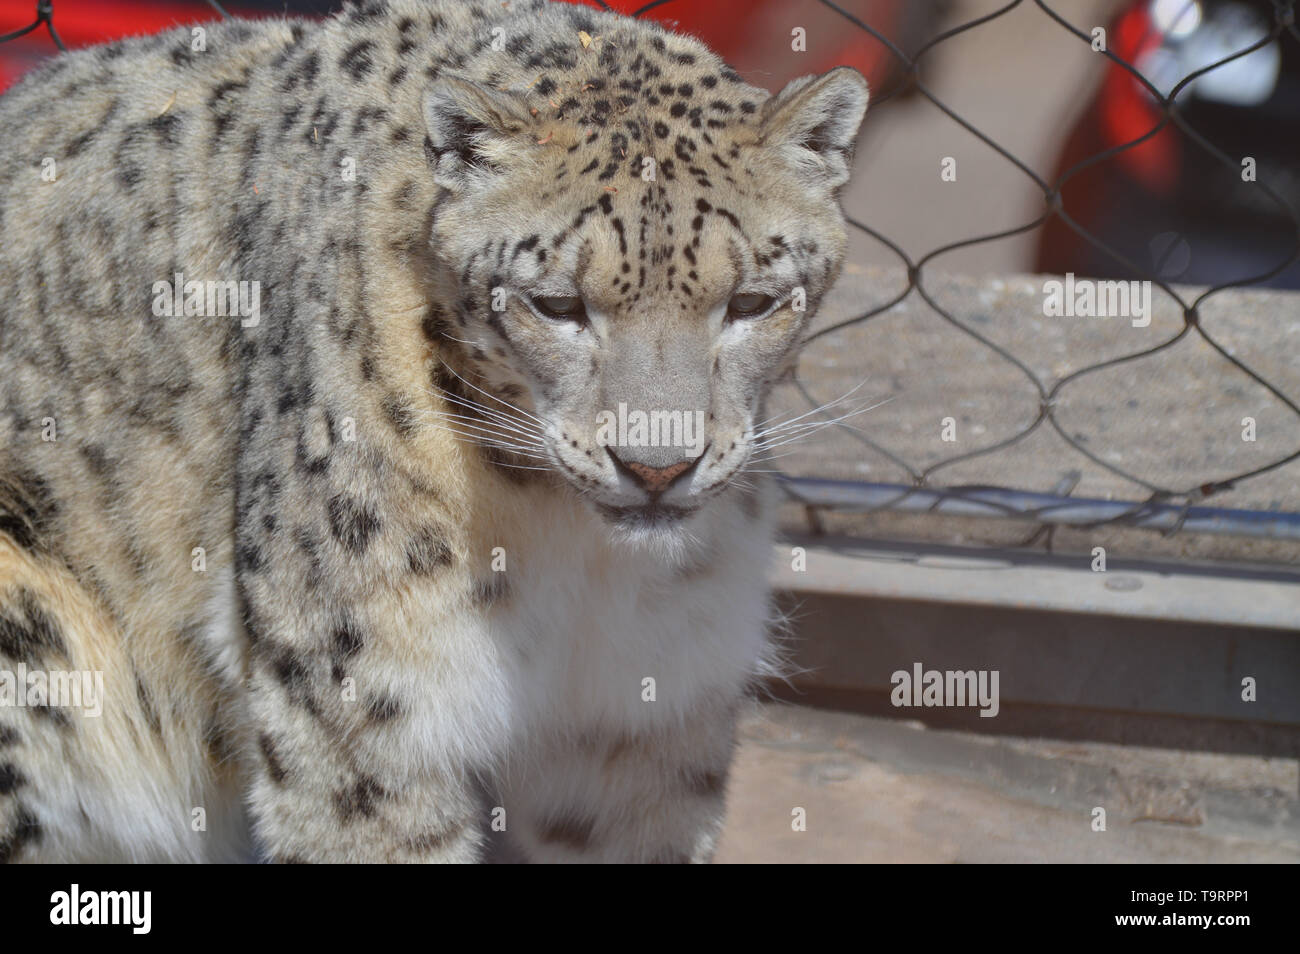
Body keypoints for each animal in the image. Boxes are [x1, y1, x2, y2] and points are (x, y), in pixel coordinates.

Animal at [0, 0, 868, 862]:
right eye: (556, 304)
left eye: (753, 301)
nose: (657, 468)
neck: (575, 554)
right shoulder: (368, 702)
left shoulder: (645, 723)